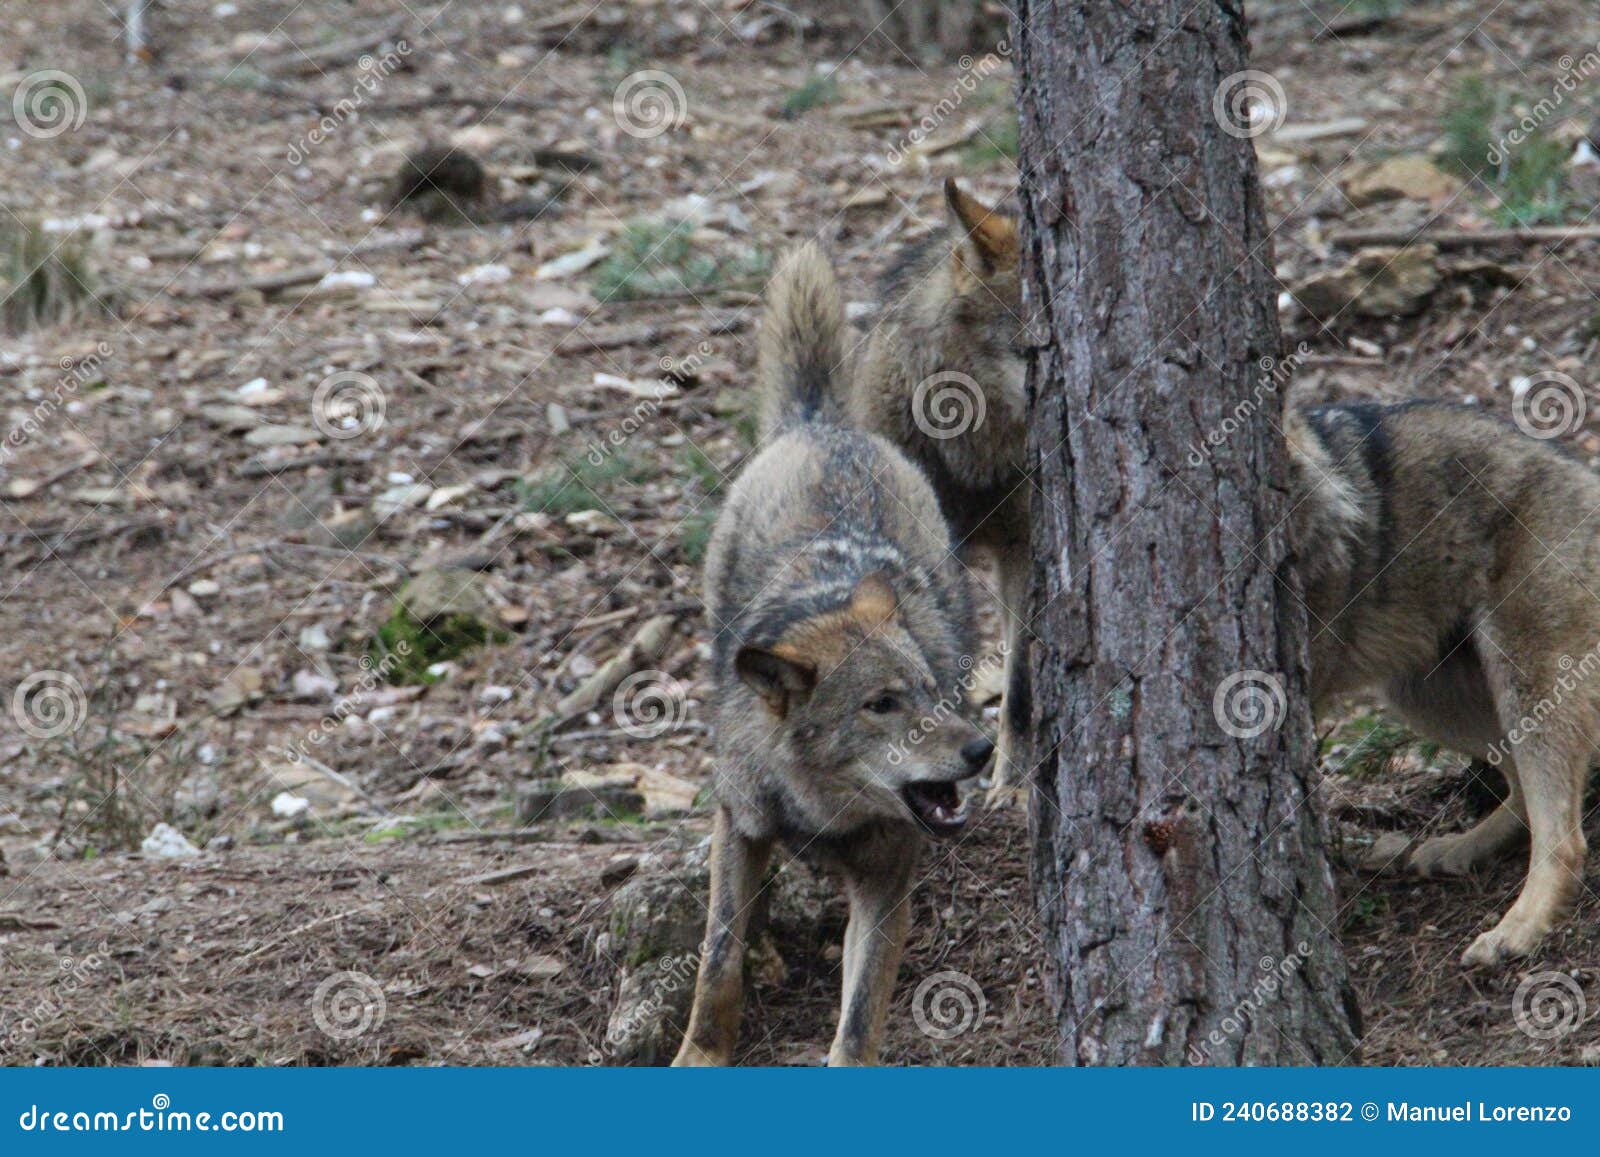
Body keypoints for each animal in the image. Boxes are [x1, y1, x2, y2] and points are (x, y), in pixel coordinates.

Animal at [672, 243, 994, 1066]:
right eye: (882, 704)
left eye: (929, 691)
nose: (980, 750)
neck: (816, 809)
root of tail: (823, 425)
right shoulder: (738, 821)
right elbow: (718, 956)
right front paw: (700, 1054)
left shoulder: (886, 881)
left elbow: (858, 1018)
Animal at [1289, 399, 1597, 965]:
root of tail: (1584, 471)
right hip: (1428, 697)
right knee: (1524, 794)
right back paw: (1456, 851)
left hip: (1526, 682)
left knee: (1565, 838)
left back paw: (1516, 930)